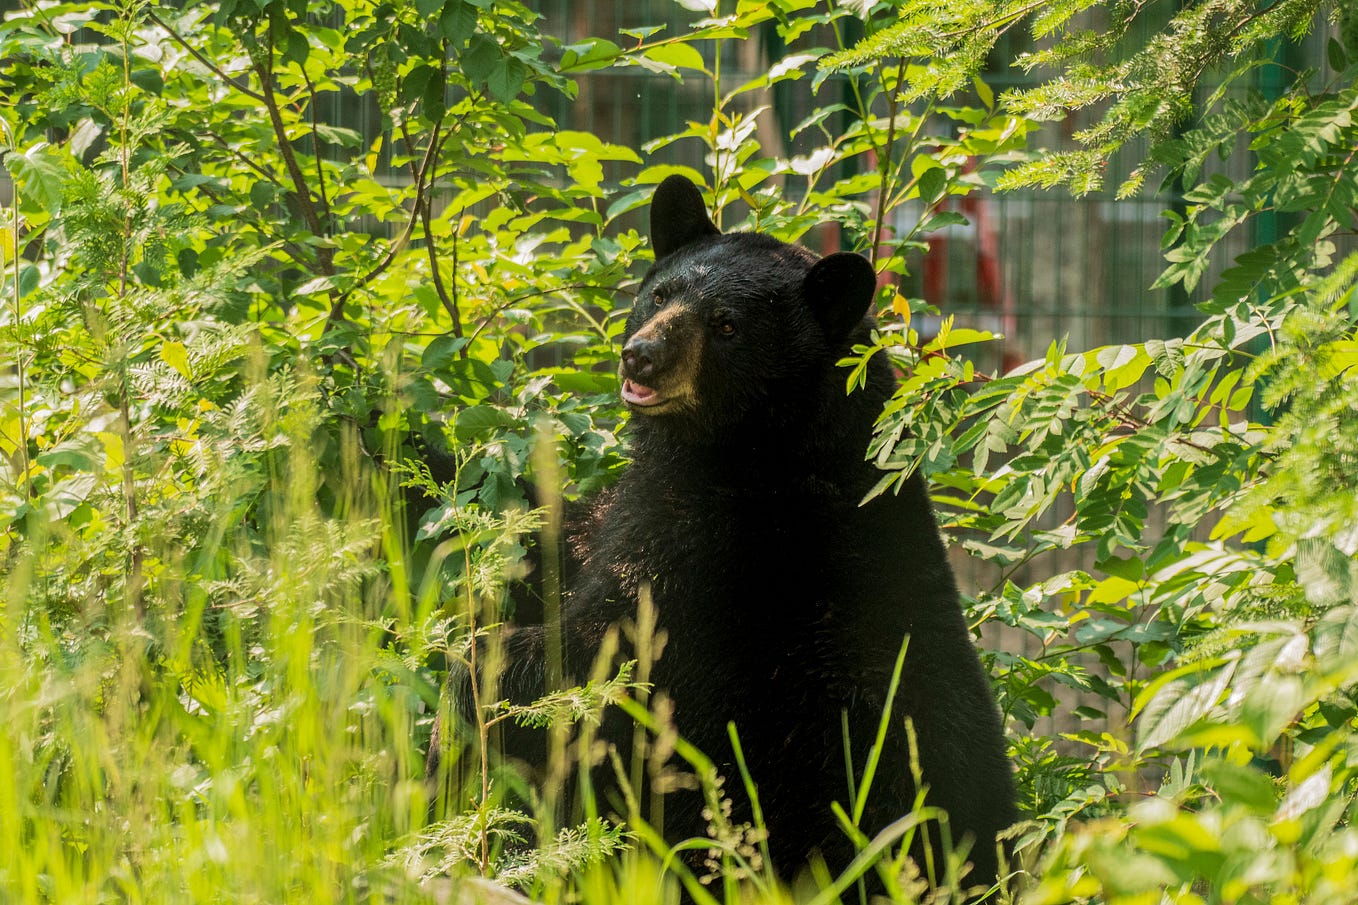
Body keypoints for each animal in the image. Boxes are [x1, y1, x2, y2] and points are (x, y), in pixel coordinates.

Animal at [447, 174, 1017, 894]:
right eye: (661, 294)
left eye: (725, 324)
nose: (641, 356)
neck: (754, 445)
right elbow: (552, 538)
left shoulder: (716, 556)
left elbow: (596, 658)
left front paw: (471, 681)